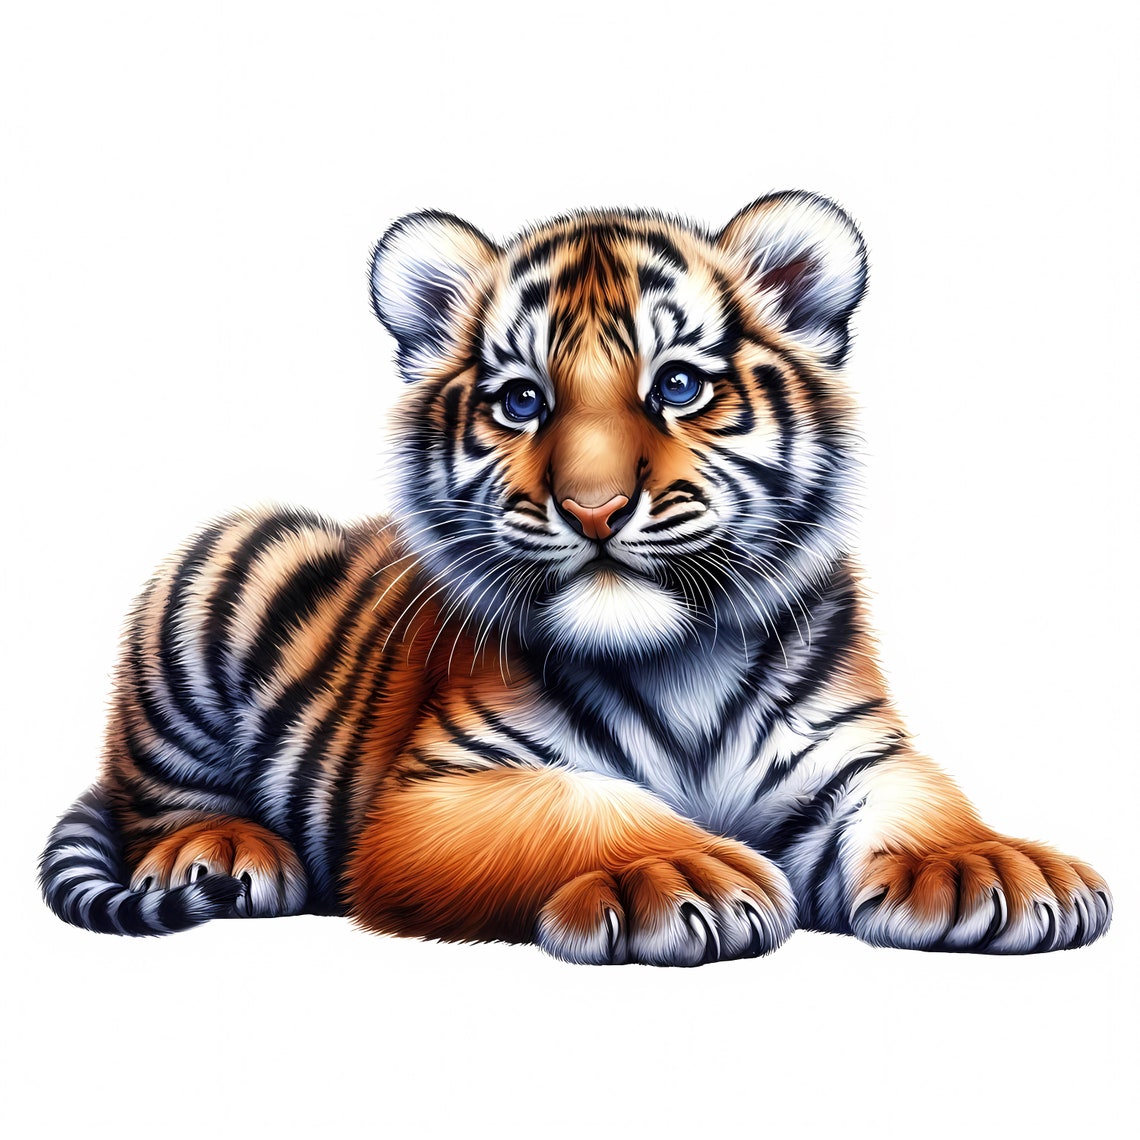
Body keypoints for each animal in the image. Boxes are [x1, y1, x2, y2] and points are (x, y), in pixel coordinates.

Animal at [40, 191, 1112, 964]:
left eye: (677, 384)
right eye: (522, 401)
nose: (594, 507)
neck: (679, 666)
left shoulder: (855, 752)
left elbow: (923, 800)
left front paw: (986, 868)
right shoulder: (433, 795)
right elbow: (575, 804)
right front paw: (677, 875)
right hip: (213, 573)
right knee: (156, 798)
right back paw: (221, 852)